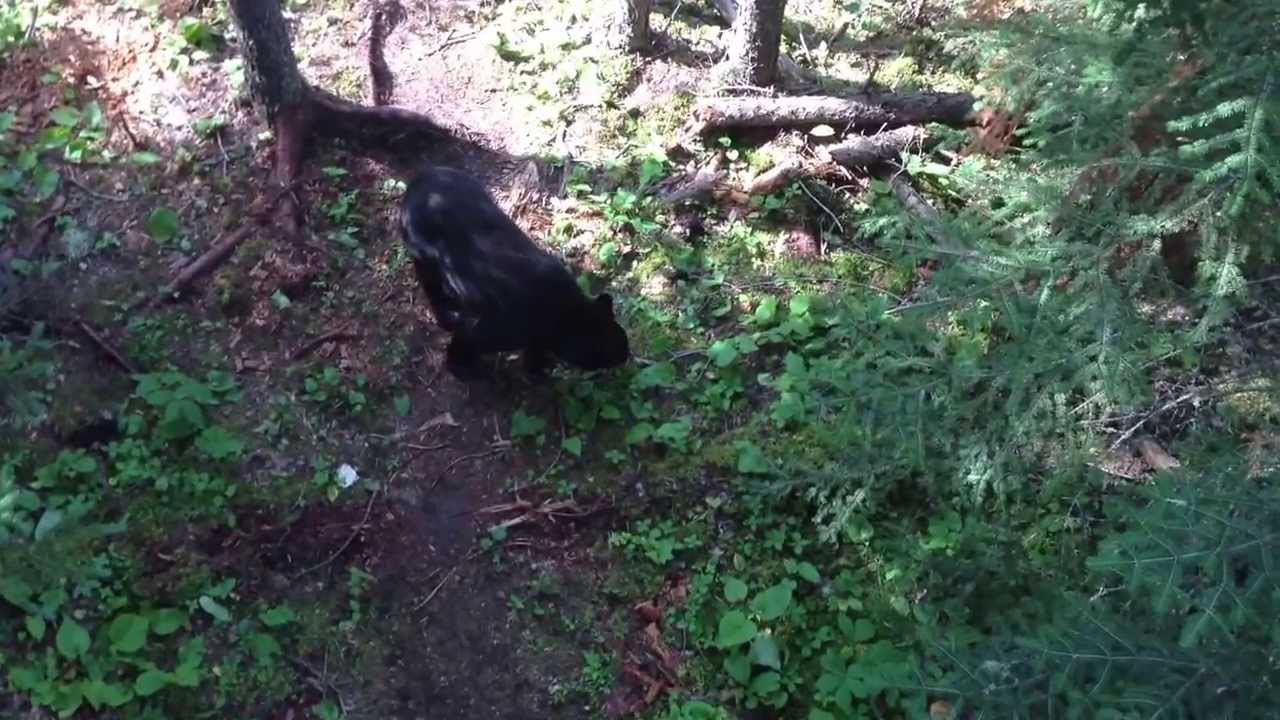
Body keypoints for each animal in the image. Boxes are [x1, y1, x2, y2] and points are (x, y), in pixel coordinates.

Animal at [399, 165, 630, 379]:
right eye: (611, 348)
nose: (627, 355)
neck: (564, 314)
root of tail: (424, 175)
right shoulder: (486, 332)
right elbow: (462, 344)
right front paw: (459, 368)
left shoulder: (536, 337)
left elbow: (535, 353)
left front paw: (538, 372)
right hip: (425, 262)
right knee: (433, 291)